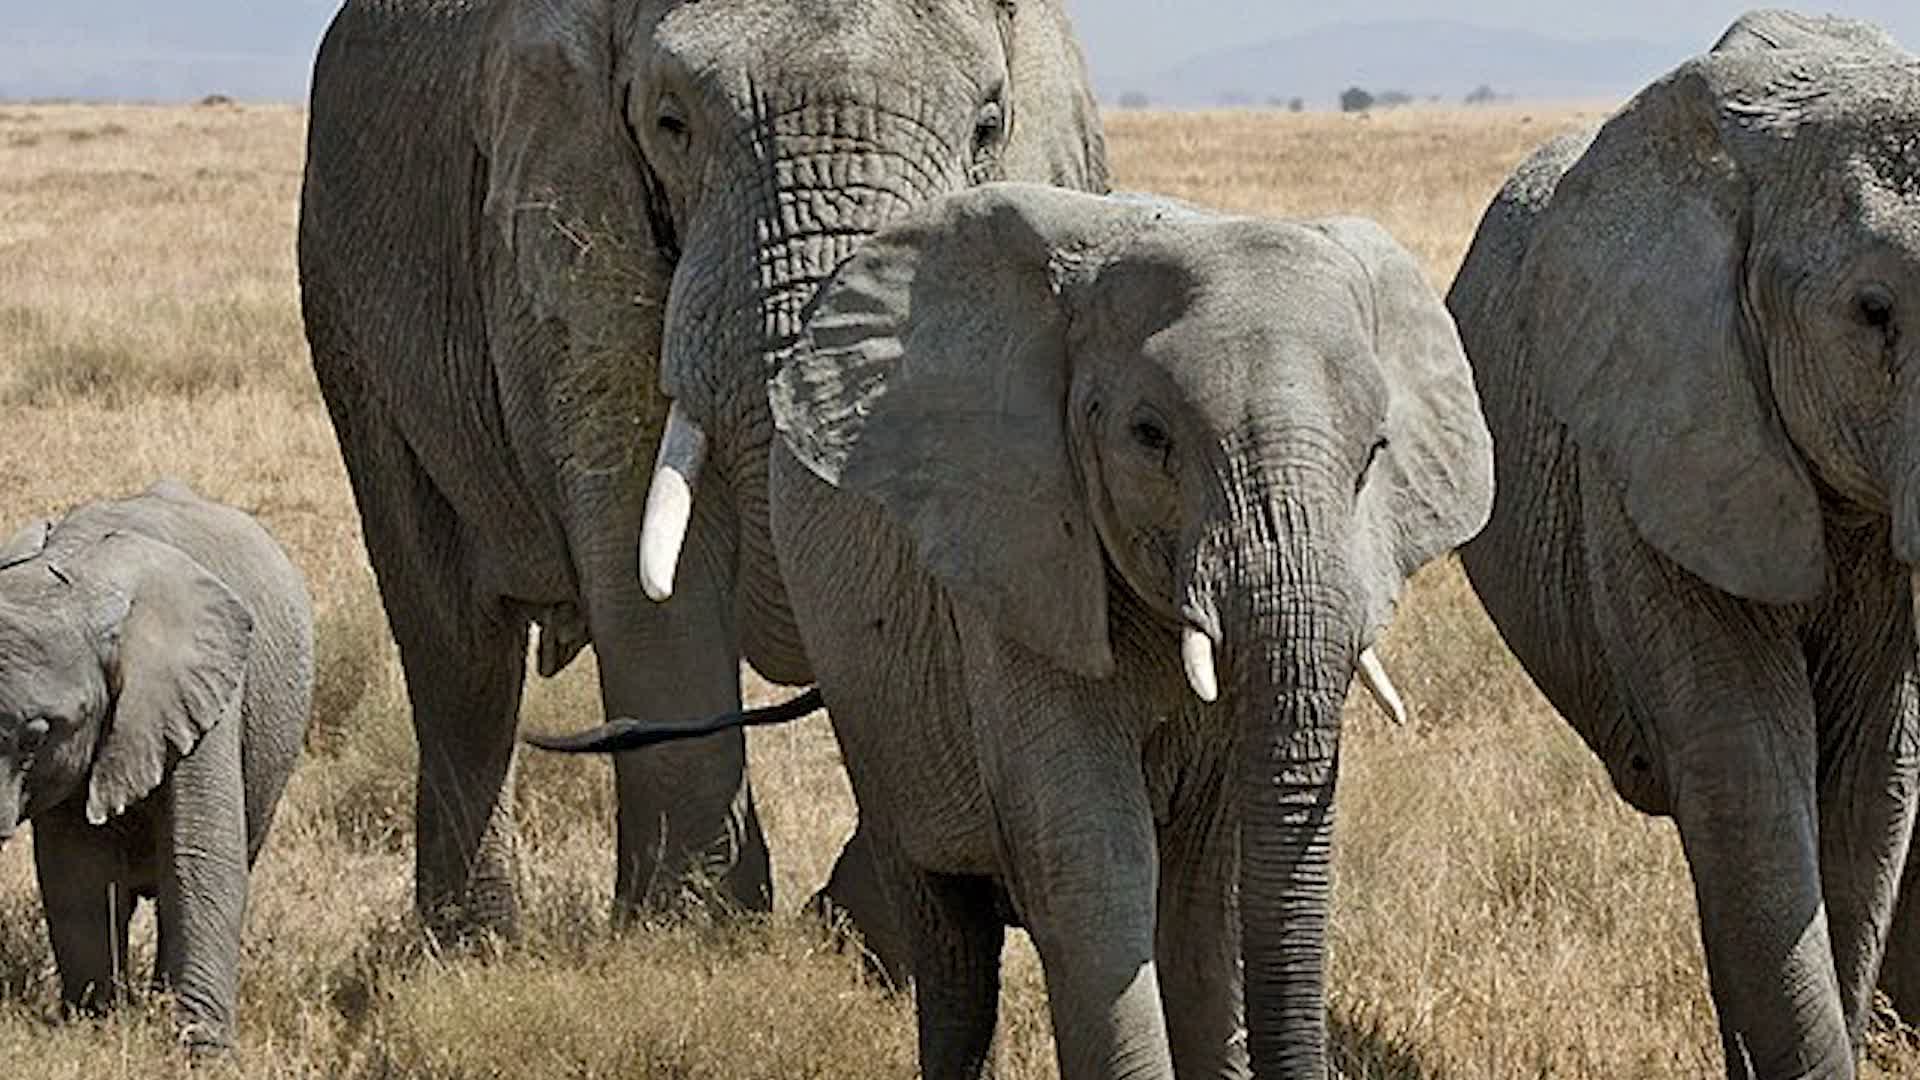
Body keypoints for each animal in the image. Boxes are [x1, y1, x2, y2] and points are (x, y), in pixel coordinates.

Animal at [0, 479, 314, 1050]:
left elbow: (202, 859)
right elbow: (76, 872)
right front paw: (95, 1026)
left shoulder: (202, 693)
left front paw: (202, 1052)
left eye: (35, 736)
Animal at [296, 0, 1107, 942]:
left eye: (988, 126)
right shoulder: (570, 230)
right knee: (460, 652)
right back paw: (474, 944)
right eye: (670, 124)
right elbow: (641, 554)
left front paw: (853, 929)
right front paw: (694, 933)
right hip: (346, 318)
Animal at [534, 183, 1495, 1079]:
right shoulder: (1013, 553)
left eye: (1374, 453)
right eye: (1150, 436)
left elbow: (1206, 886)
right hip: (866, 691)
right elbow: (1093, 857)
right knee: (950, 943)